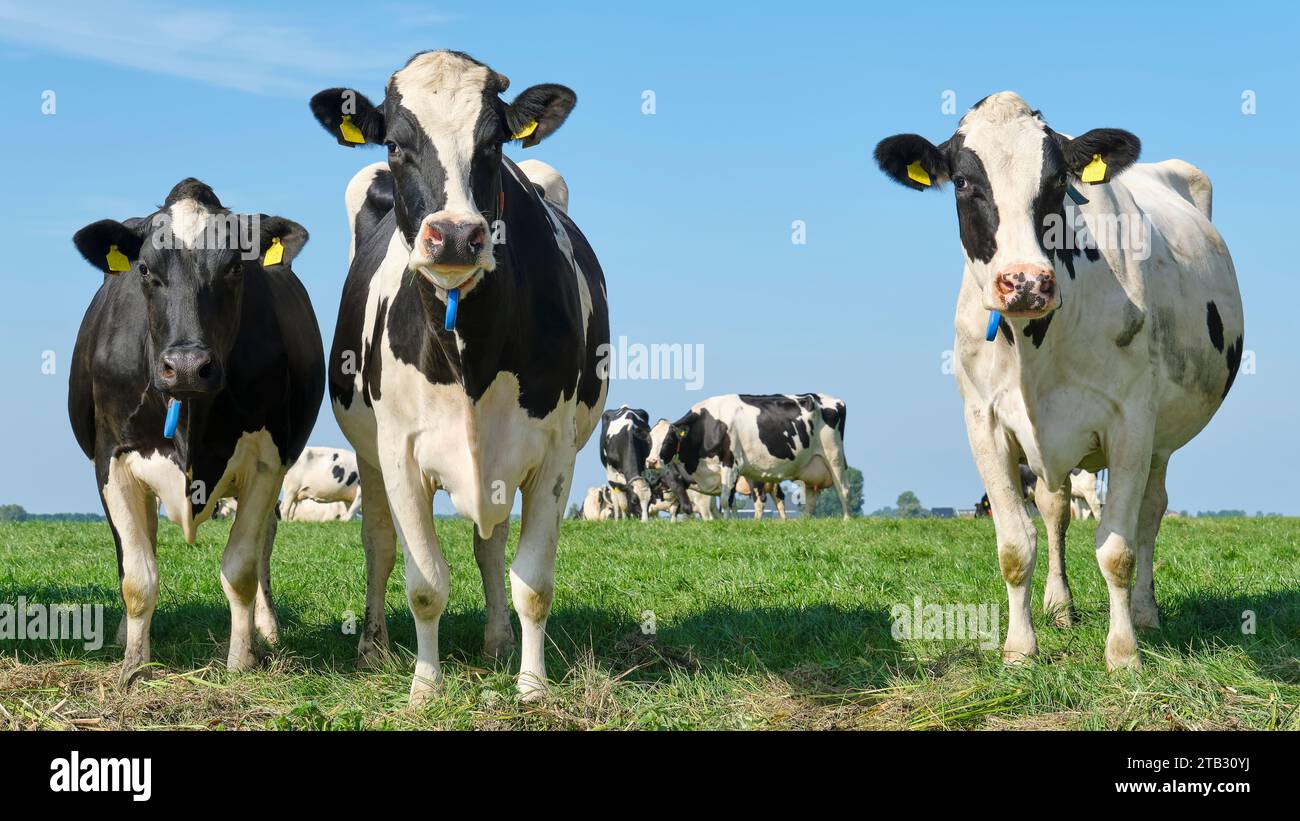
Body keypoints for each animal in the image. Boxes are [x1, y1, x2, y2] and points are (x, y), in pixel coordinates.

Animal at [68, 178, 324, 685]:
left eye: (234, 268)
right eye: (145, 268)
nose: (186, 366)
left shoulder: (267, 460)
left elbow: (241, 569)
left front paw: (242, 660)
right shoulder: (111, 459)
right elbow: (137, 575)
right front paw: (133, 666)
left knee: (265, 545)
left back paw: (268, 630)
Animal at [309, 50, 609, 702]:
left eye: (494, 142)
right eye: (396, 143)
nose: (452, 236)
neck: (468, 350)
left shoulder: (555, 452)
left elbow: (532, 583)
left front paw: (531, 686)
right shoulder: (399, 451)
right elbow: (424, 583)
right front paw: (425, 688)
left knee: (489, 548)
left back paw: (497, 641)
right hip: (368, 454)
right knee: (380, 544)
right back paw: (372, 647)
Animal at [646, 393, 850, 520]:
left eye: (667, 440)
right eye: (649, 439)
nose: (651, 461)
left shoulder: (730, 463)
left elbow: (726, 500)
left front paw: (726, 522)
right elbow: (728, 500)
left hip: (834, 457)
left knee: (843, 490)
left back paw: (846, 520)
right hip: (811, 468)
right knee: (810, 497)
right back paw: (804, 521)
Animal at [874, 91, 1243, 670]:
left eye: (1056, 183)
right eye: (963, 182)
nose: (1025, 282)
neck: (1034, 348)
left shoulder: (1132, 422)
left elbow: (1117, 549)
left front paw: (1123, 654)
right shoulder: (984, 422)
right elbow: (1014, 545)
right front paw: (1020, 648)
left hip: (1161, 438)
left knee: (1150, 514)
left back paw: (1145, 614)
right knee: (1055, 511)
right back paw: (1060, 606)